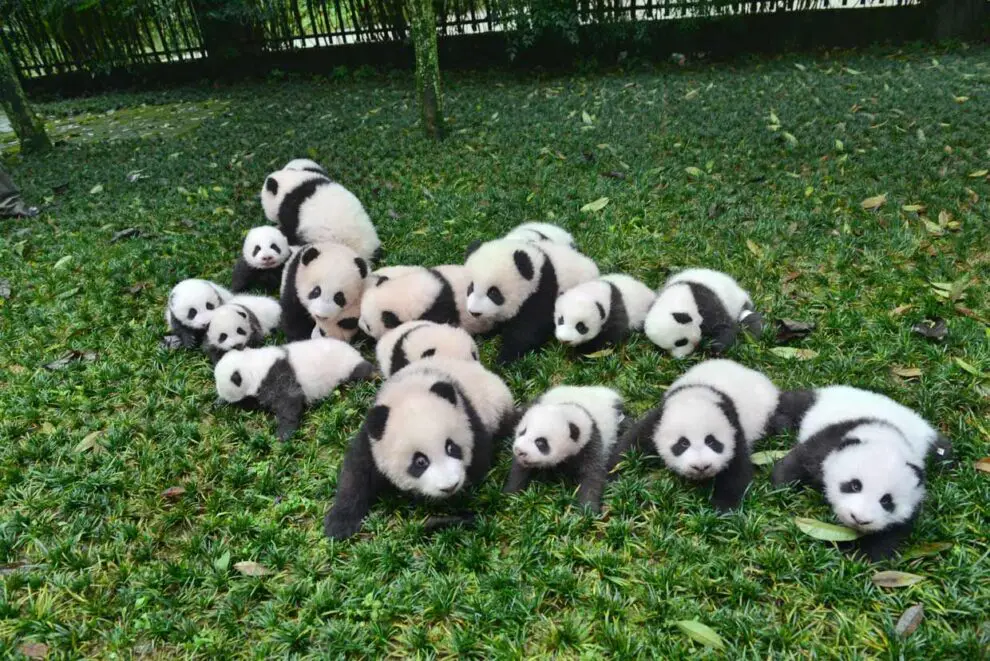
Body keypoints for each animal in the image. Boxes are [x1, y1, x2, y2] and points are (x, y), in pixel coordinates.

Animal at [215, 337, 374, 441]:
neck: (252, 367)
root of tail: (355, 351)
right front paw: (218, 402)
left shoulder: (277, 378)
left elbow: (290, 402)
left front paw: (283, 435)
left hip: (347, 366)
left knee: (362, 372)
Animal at [323, 357, 516, 539]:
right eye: (420, 461)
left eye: (451, 447)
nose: (450, 486)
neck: (410, 389)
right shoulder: (373, 437)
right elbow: (357, 473)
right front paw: (339, 526)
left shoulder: (469, 417)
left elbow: (479, 460)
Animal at [464, 239, 600, 364]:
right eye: (470, 287)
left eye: (493, 293)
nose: (474, 312)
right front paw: (480, 336)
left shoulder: (543, 290)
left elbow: (526, 331)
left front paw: (503, 359)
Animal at [619, 359, 779, 511]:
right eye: (683, 443)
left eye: (711, 441)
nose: (701, 467)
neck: (696, 396)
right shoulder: (658, 419)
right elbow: (632, 443)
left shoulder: (733, 425)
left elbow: (736, 468)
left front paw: (723, 509)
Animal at [769, 385, 952, 561]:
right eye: (855, 485)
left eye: (887, 501)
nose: (859, 519)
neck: (889, 438)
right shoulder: (833, 439)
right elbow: (801, 459)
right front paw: (782, 489)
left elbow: (890, 533)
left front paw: (862, 558)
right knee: (792, 406)